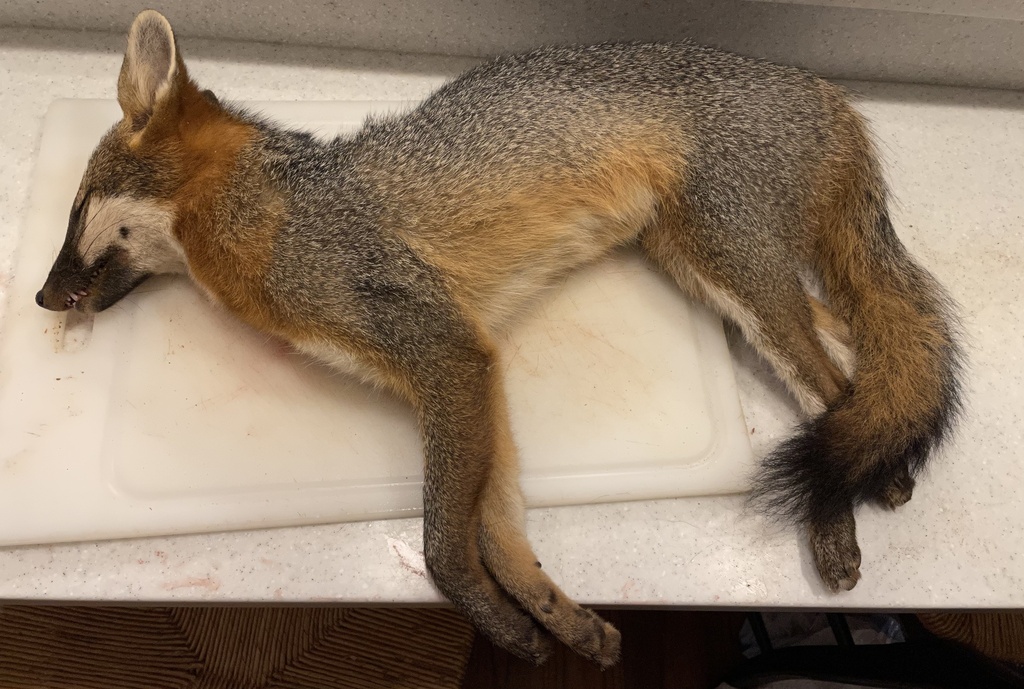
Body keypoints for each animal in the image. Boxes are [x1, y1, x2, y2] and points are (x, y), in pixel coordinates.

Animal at [36, 10, 962, 667]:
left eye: (75, 209)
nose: (42, 296)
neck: (274, 211)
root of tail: (821, 85)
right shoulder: (467, 370)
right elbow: (498, 533)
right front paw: (558, 620)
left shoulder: (444, 353)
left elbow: (443, 544)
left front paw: (498, 625)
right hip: (700, 265)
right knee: (857, 354)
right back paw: (886, 468)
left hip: (733, 270)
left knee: (838, 387)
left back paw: (843, 515)